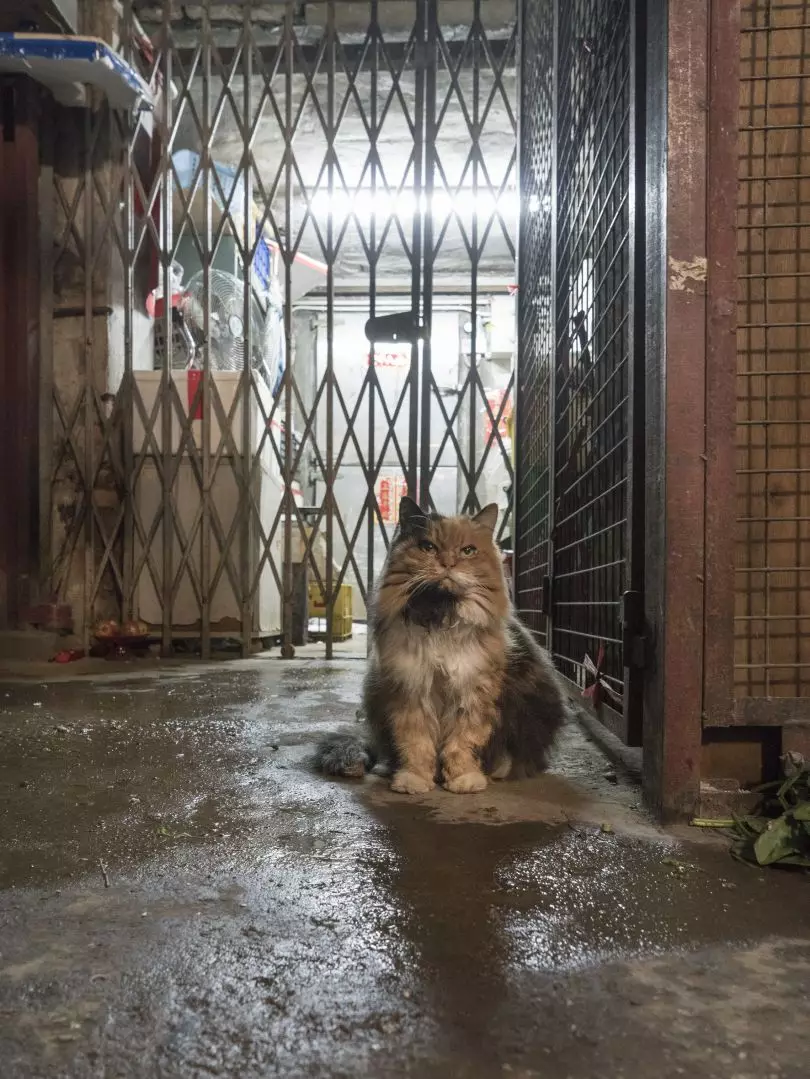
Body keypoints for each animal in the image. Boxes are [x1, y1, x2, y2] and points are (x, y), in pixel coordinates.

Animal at [312, 496, 565, 794]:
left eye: (468, 551)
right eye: (428, 547)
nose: (448, 563)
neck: (441, 617)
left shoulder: (472, 694)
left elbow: (462, 744)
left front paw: (464, 780)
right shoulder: (411, 691)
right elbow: (416, 744)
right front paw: (414, 780)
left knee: (519, 754)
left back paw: (498, 770)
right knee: (385, 749)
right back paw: (387, 768)